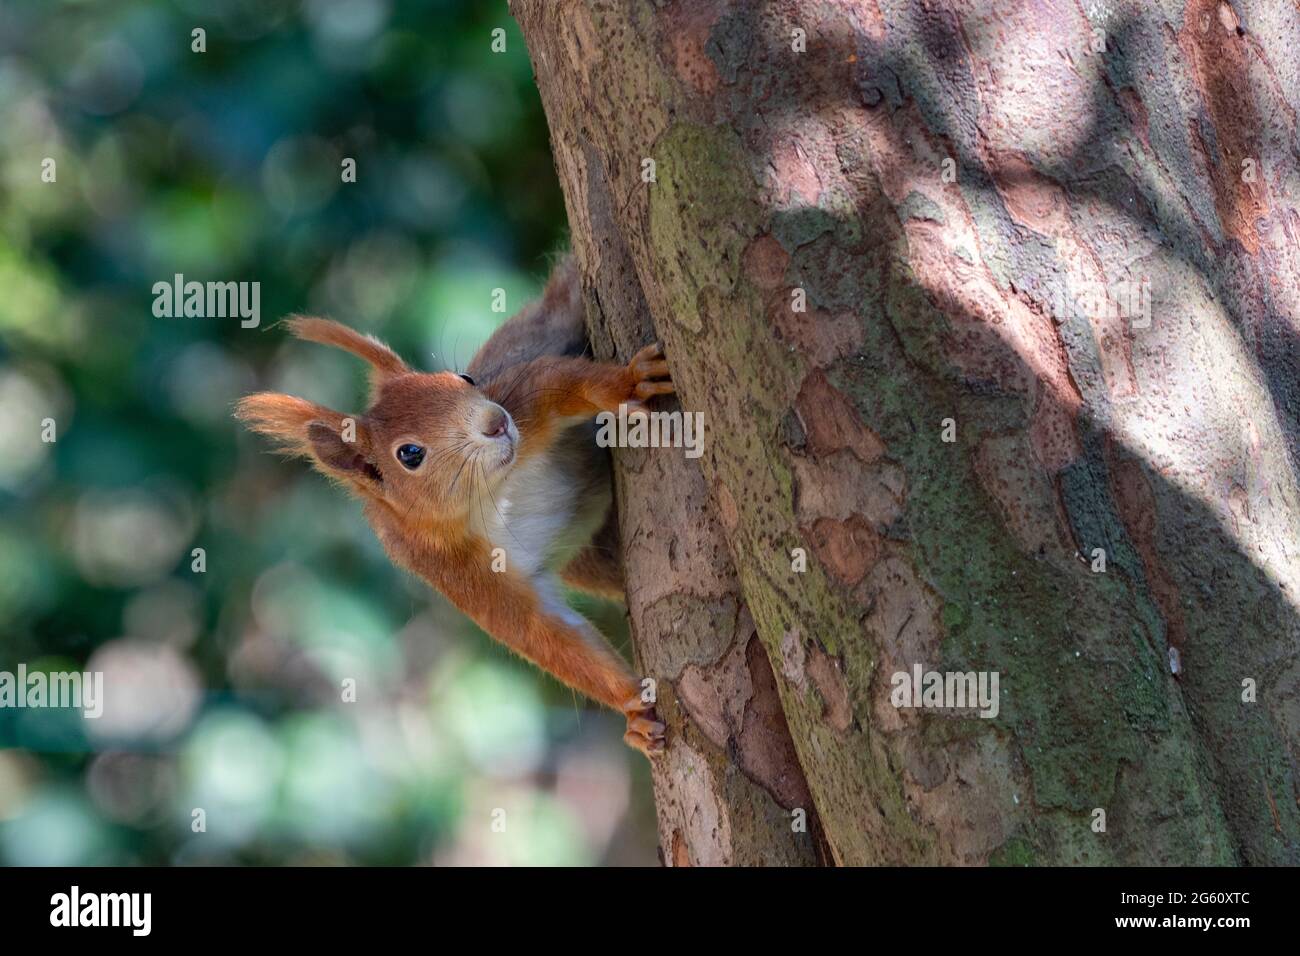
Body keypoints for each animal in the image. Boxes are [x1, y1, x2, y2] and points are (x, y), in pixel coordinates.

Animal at [235, 260, 670, 755]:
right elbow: (541, 632)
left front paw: (625, 383)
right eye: (409, 454)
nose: (496, 423)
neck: (493, 492)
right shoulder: (456, 569)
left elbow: (557, 380)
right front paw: (632, 708)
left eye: (463, 379)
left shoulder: (521, 401)